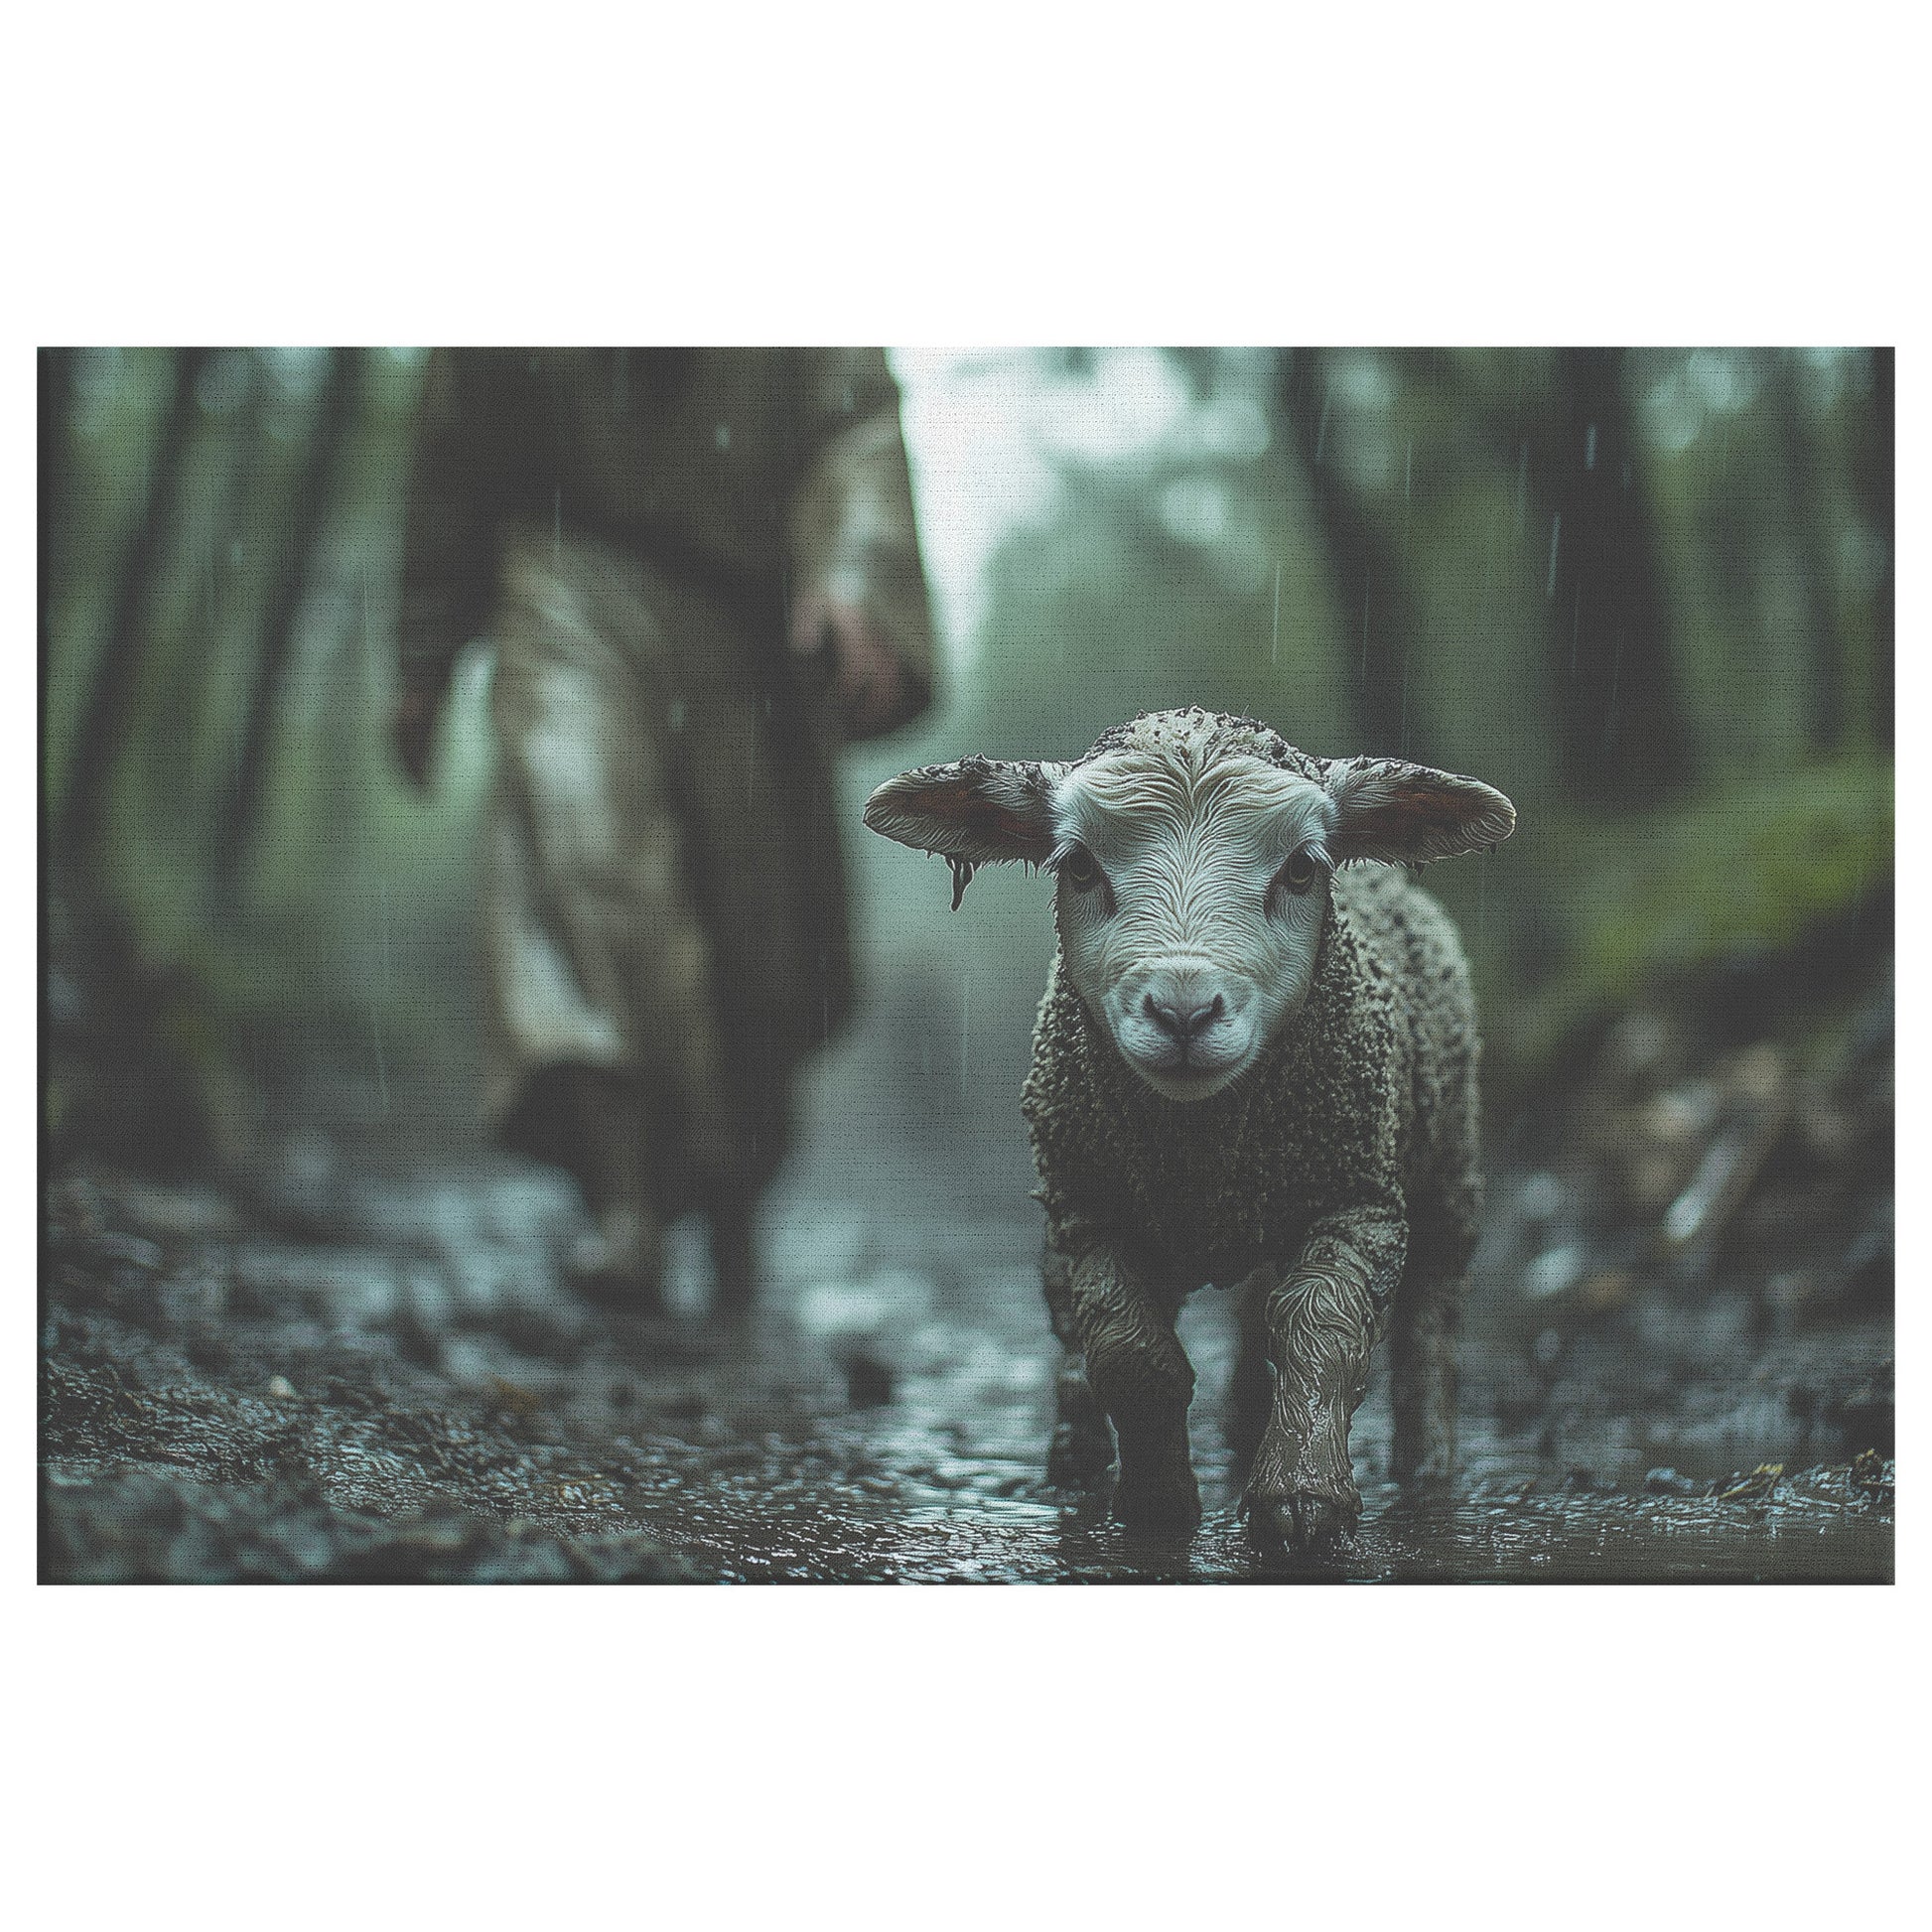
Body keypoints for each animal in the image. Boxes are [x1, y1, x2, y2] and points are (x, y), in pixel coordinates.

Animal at [863, 707, 1515, 1550]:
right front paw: (1159, 1504)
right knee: (1099, 1328)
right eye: (1078, 867)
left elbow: (1321, 1328)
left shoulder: (1360, 1199)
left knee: (1431, 1320)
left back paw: (1427, 1464)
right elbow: (1132, 1353)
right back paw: (1090, 1455)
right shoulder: (1093, 1211)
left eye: (1301, 870)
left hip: (1448, 1169)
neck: (1203, 1148)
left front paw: (1302, 1500)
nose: (1182, 1012)